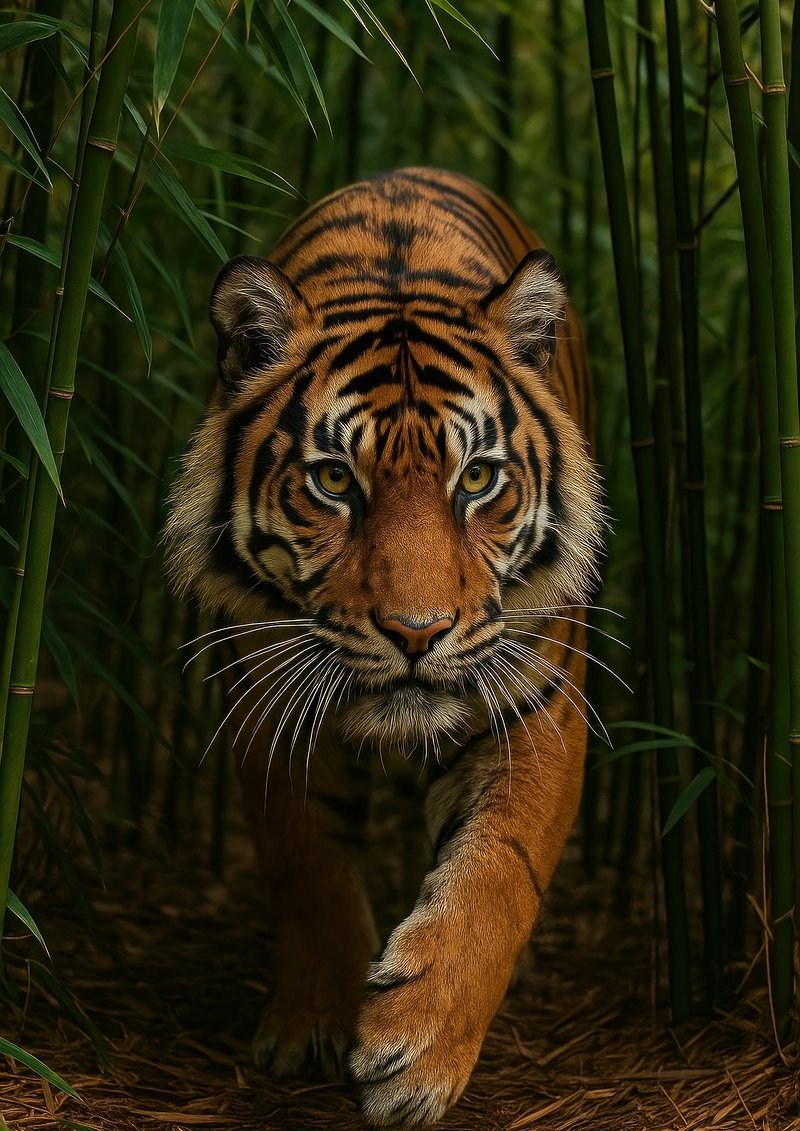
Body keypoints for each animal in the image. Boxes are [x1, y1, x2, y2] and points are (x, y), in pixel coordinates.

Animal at [164, 167, 604, 1127]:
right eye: (334, 479)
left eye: (478, 478)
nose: (417, 632)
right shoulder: (269, 700)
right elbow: (309, 864)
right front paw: (317, 1022)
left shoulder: (538, 705)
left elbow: (499, 869)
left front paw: (420, 1046)